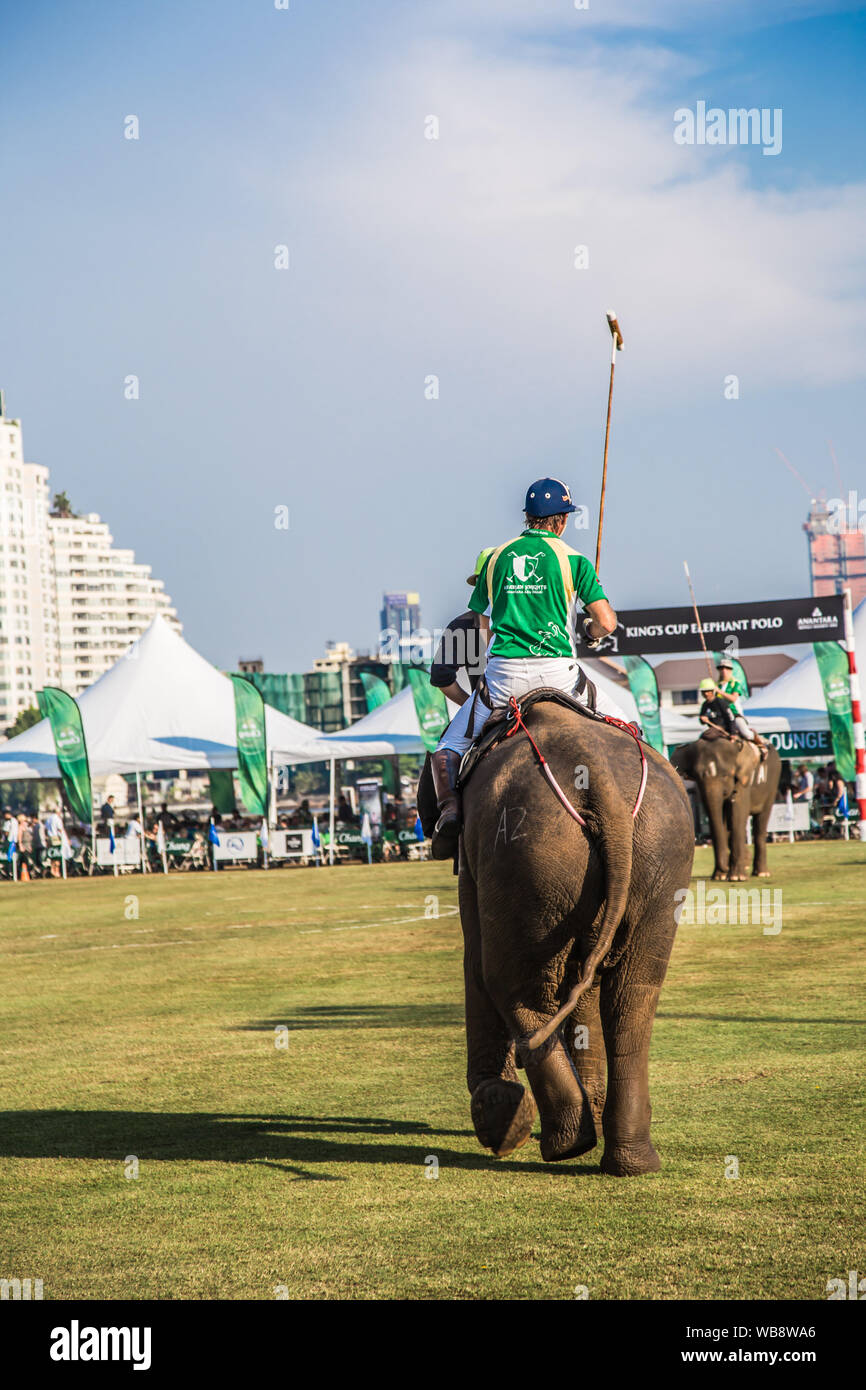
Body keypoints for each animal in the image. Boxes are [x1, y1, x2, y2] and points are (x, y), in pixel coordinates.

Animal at [418, 698, 694, 1175]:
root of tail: (599, 782)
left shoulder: (476, 857)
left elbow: (475, 954)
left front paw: (499, 1112)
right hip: (659, 853)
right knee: (633, 994)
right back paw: (628, 1160)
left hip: (527, 849)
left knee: (513, 984)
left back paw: (554, 1139)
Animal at [670, 732, 781, 882]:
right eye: (697, 776)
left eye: (725, 775)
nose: (725, 868)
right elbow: (717, 816)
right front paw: (720, 876)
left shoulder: (744, 779)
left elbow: (738, 813)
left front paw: (737, 877)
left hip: (772, 785)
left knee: (760, 822)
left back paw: (761, 873)